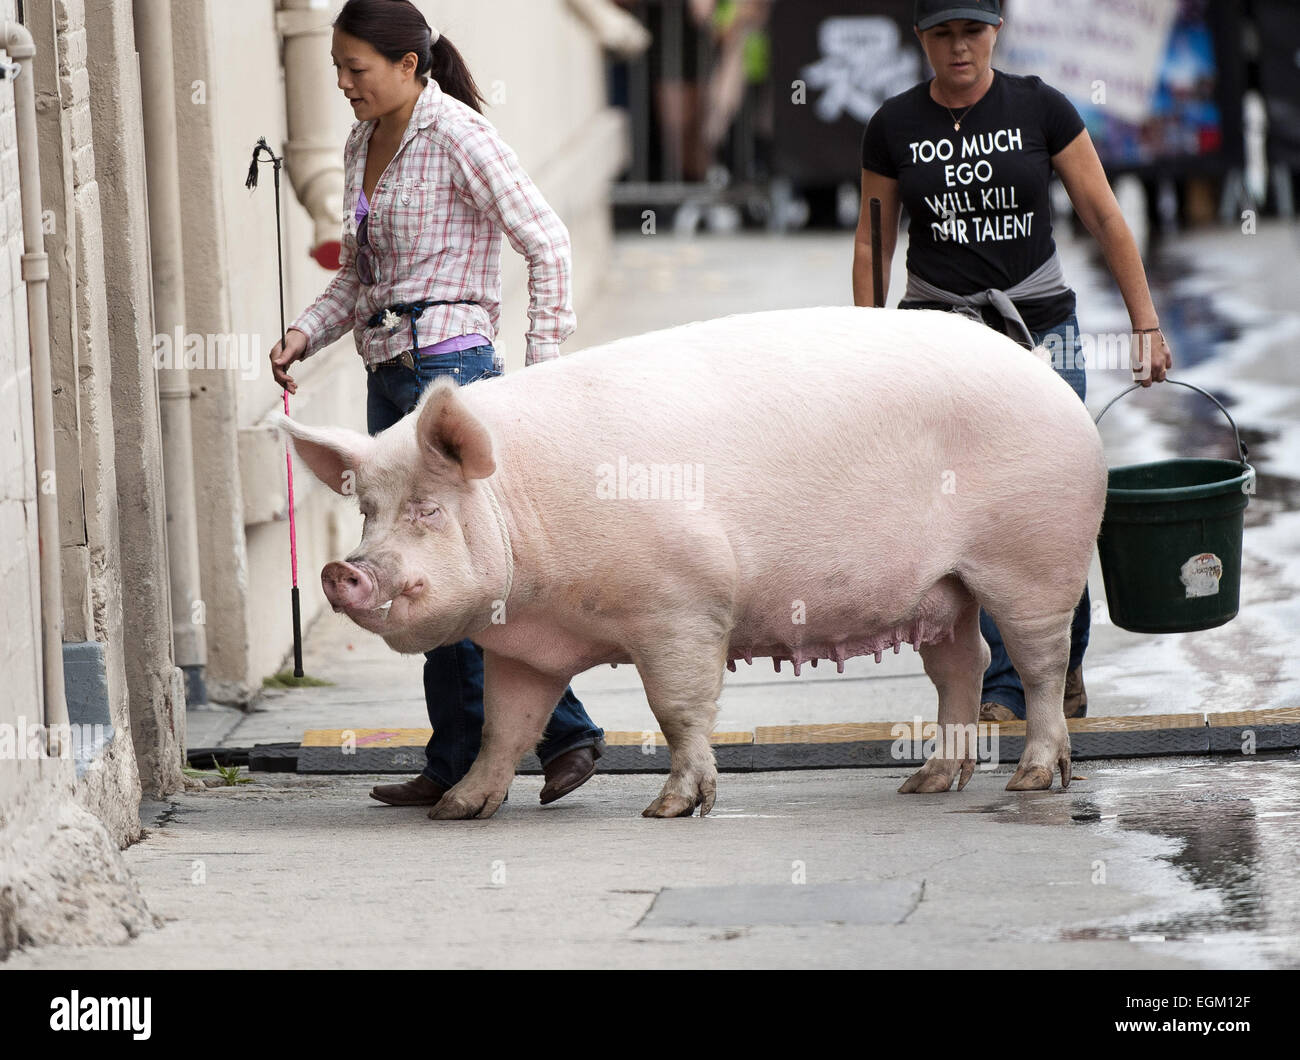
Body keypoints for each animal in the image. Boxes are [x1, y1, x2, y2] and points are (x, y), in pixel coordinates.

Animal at [274, 307, 1107, 820]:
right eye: (366, 510)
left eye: (428, 508)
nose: (345, 571)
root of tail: (1045, 371)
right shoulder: (525, 651)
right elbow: (505, 730)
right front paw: (457, 810)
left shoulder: (682, 602)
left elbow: (677, 709)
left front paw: (670, 808)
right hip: (947, 587)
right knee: (961, 665)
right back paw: (926, 783)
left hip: (1035, 560)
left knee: (1038, 664)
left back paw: (1034, 777)